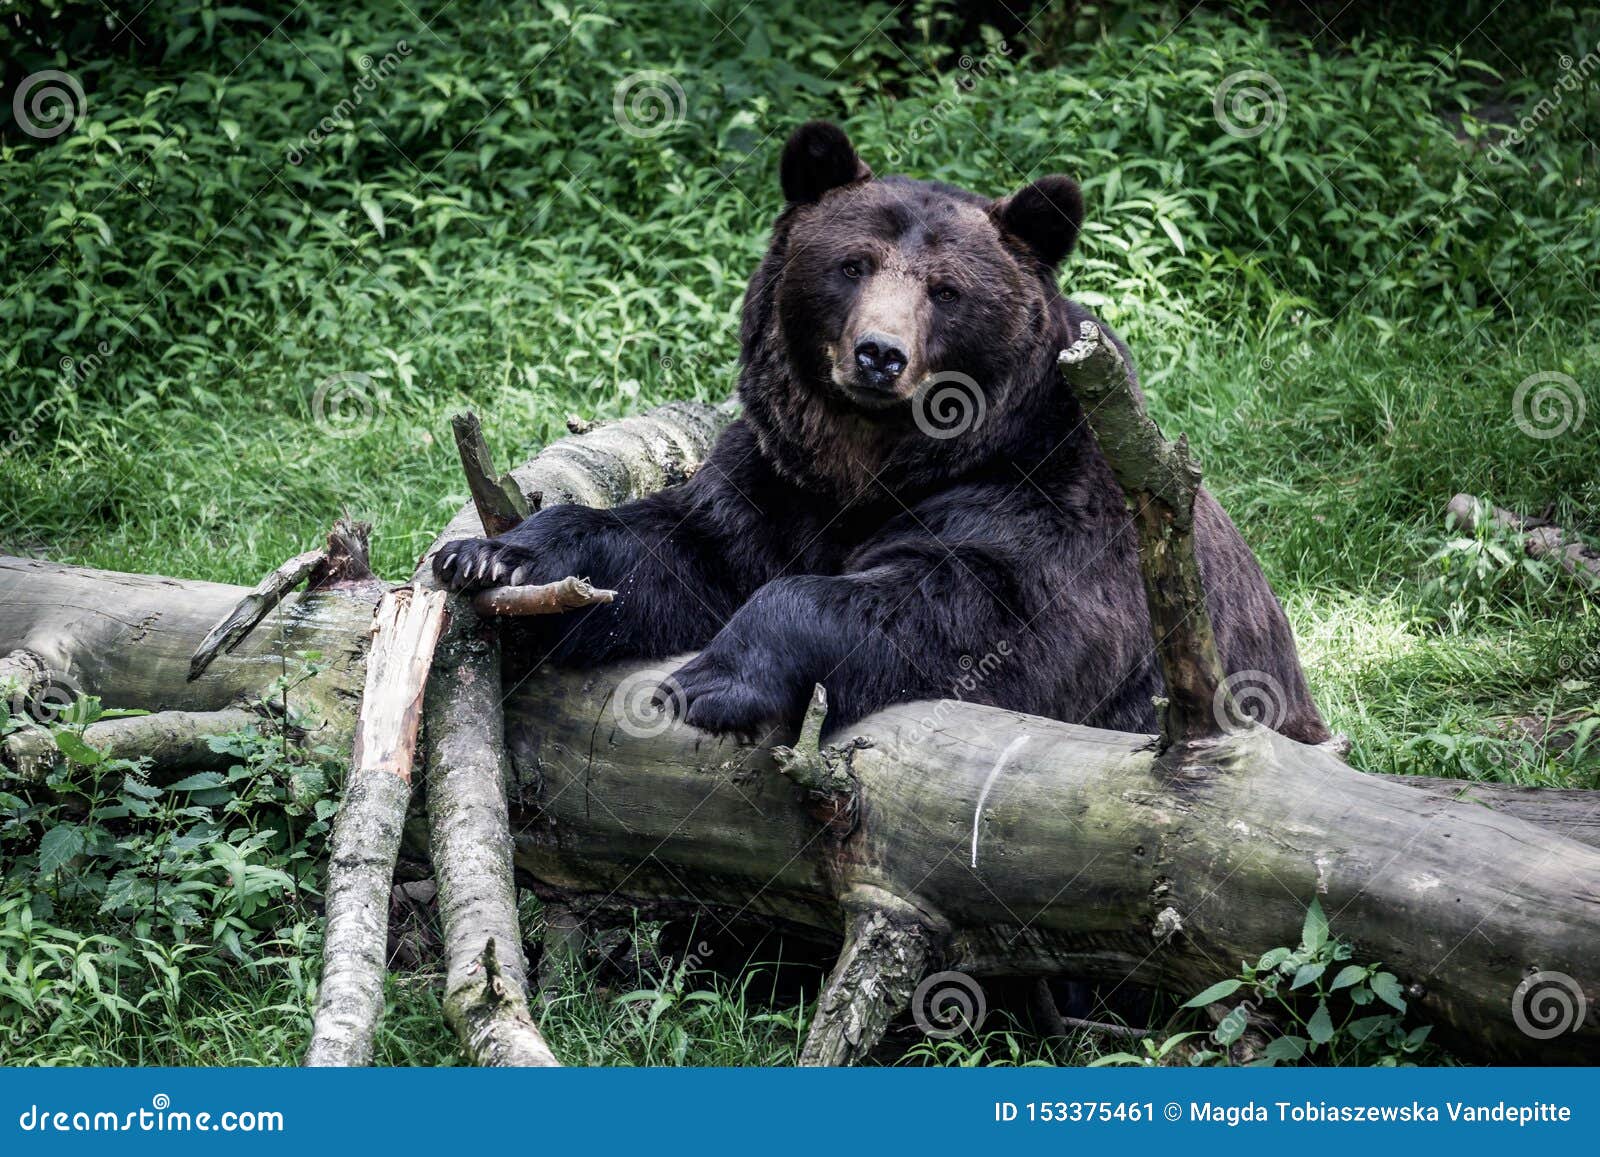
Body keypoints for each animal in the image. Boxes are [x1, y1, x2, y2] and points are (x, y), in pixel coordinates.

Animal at [434, 120, 1330, 746]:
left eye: (947, 289)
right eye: (852, 263)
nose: (878, 353)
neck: (876, 461)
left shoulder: (1052, 497)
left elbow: (977, 611)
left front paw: (711, 677)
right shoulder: (780, 480)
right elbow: (683, 543)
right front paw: (494, 553)